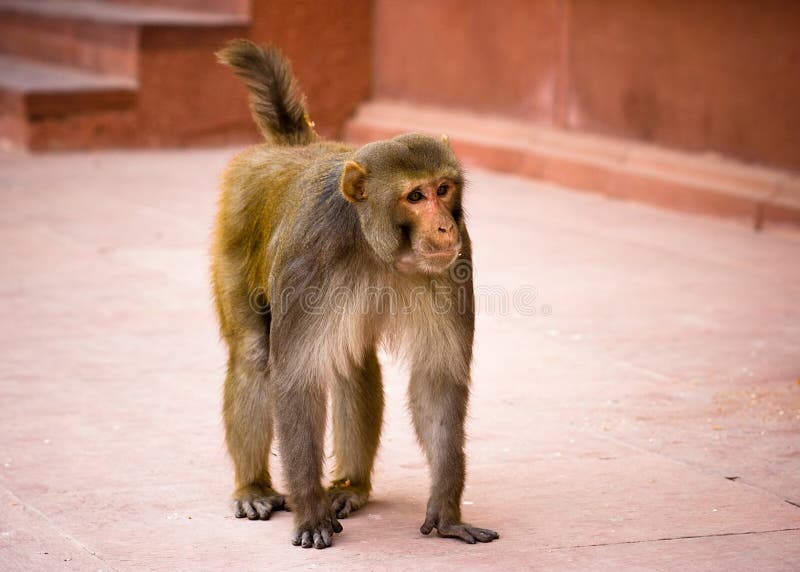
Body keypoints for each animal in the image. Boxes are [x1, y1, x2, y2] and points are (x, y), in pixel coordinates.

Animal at [211, 39, 499, 550]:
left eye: (444, 189)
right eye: (415, 197)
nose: (444, 227)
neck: (373, 244)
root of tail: (290, 148)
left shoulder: (456, 264)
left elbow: (436, 379)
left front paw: (447, 512)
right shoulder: (309, 259)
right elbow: (296, 379)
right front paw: (310, 511)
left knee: (352, 360)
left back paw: (351, 486)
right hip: (235, 232)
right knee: (253, 353)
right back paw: (254, 487)